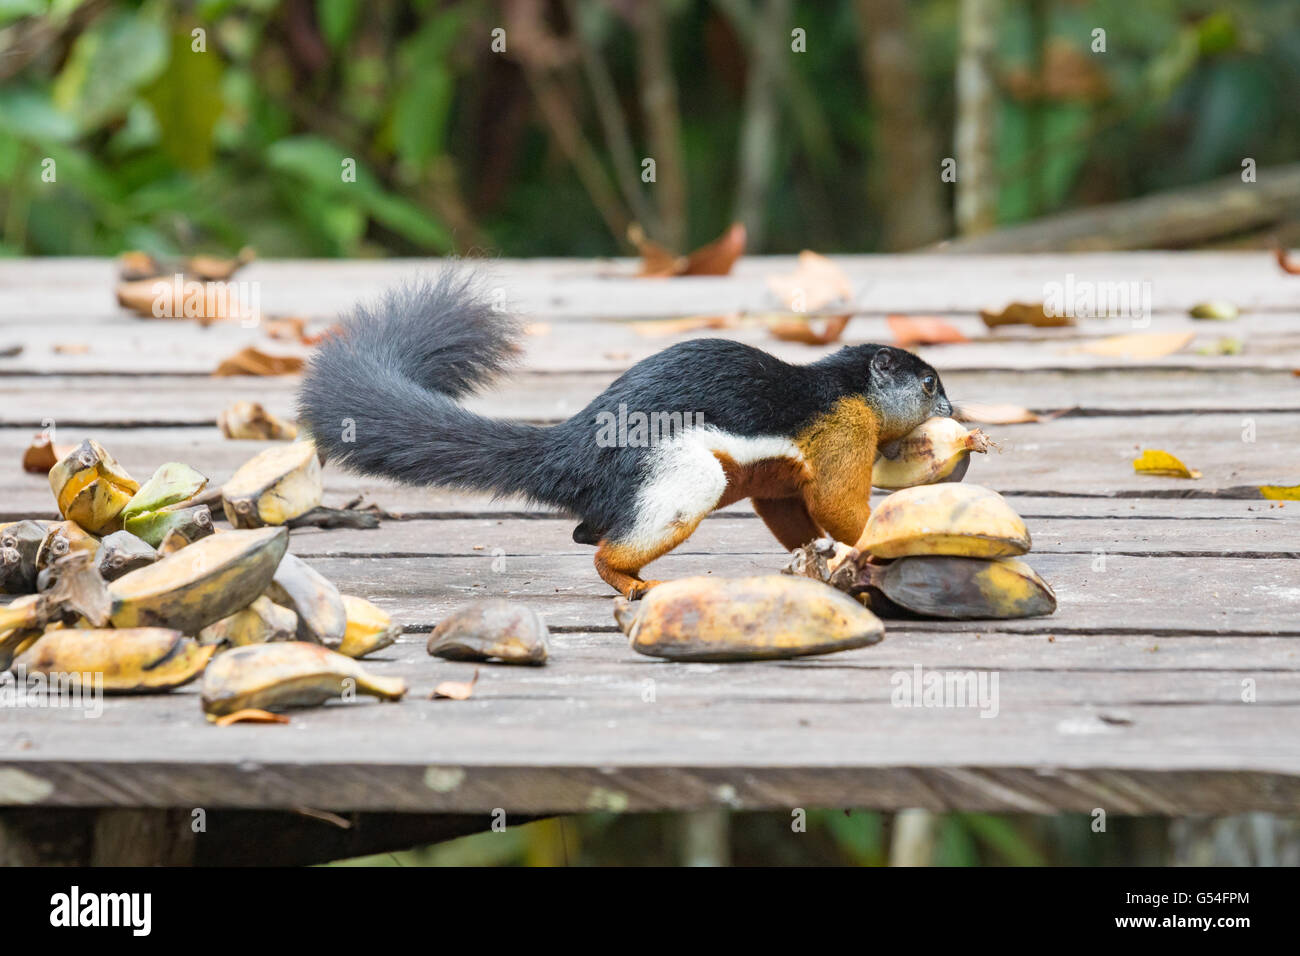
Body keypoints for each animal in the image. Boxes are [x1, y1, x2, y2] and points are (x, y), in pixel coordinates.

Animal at [298, 272, 953, 599]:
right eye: (927, 384)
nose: (951, 405)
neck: (842, 385)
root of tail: (571, 450)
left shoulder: (783, 480)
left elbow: (791, 511)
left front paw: (817, 556)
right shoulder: (843, 432)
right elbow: (838, 504)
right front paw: (872, 541)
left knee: (587, 530)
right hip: (681, 476)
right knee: (609, 547)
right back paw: (630, 581)